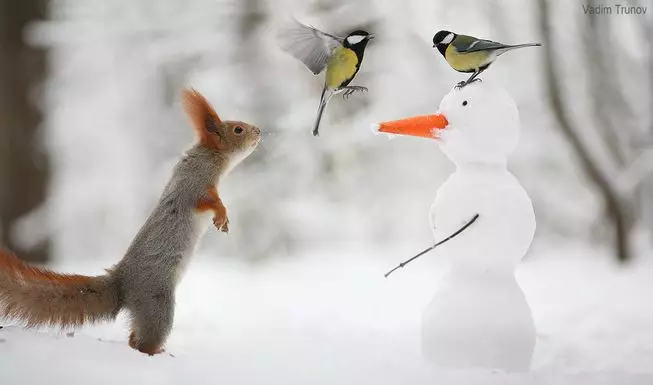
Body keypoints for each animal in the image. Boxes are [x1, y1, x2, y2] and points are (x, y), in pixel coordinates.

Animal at [0, 87, 260, 354]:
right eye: (238, 129)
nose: (259, 131)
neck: (210, 157)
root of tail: (122, 283)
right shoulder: (194, 185)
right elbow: (207, 201)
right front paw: (221, 214)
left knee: (133, 338)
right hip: (157, 304)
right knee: (144, 340)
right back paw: (155, 352)